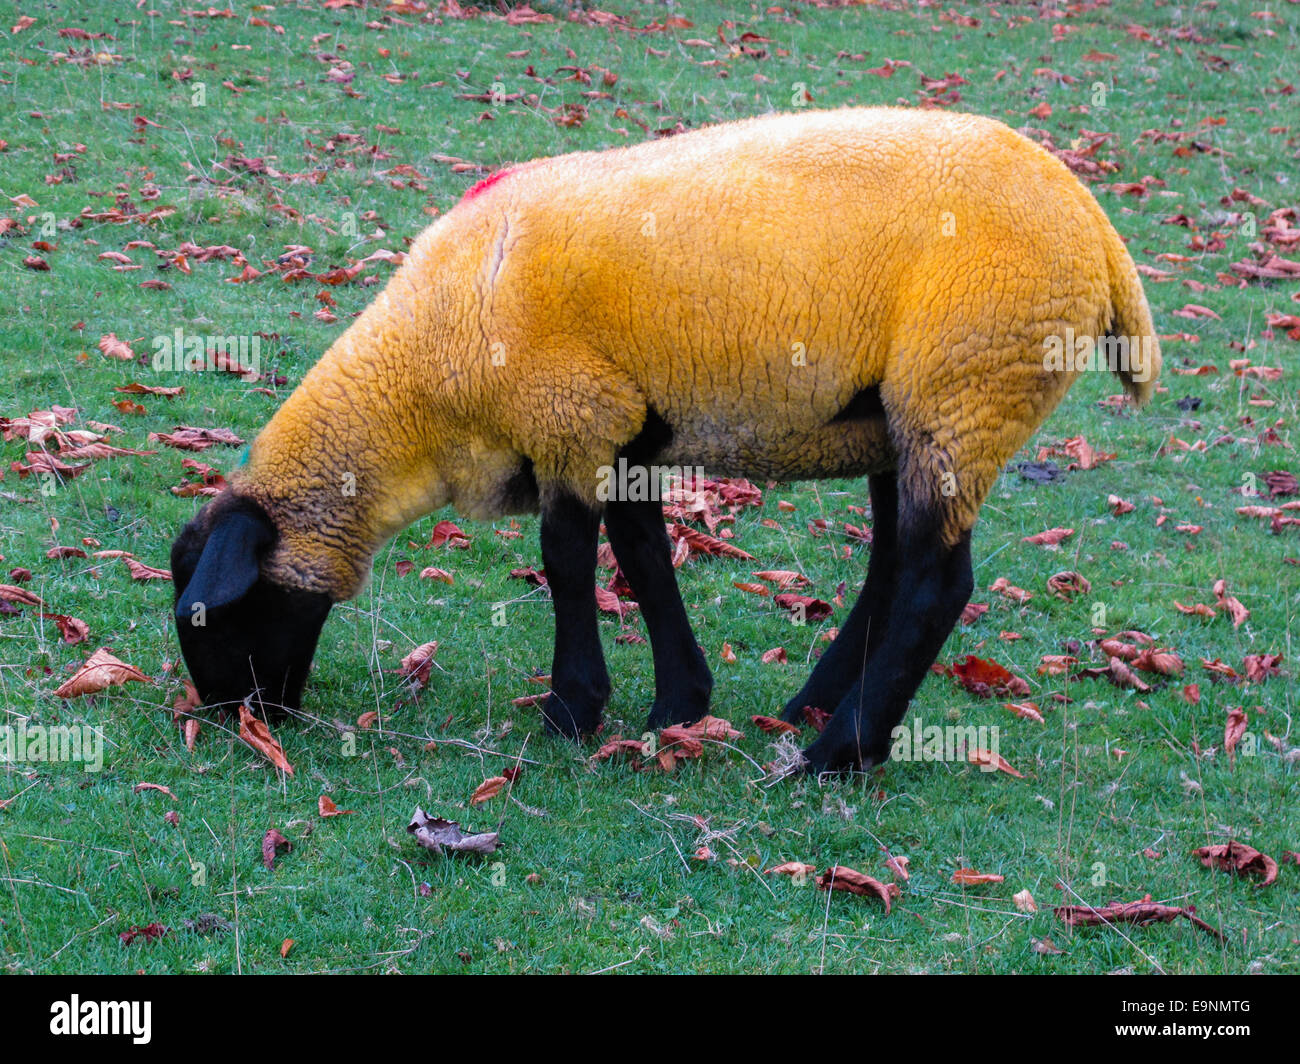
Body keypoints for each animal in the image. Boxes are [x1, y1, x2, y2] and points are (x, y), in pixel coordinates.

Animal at [171, 106, 1160, 774]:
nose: (231, 721)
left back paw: (838, 752)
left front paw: (572, 711)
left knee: (935, 581)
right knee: (895, 564)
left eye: (215, 613)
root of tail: (1100, 234)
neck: (426, 381)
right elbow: (642, 557)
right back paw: (815, 707)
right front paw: (678, 703)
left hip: (963, 389)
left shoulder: (570, 413)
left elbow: (569, 560)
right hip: (910, 413)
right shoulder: (619, 433)